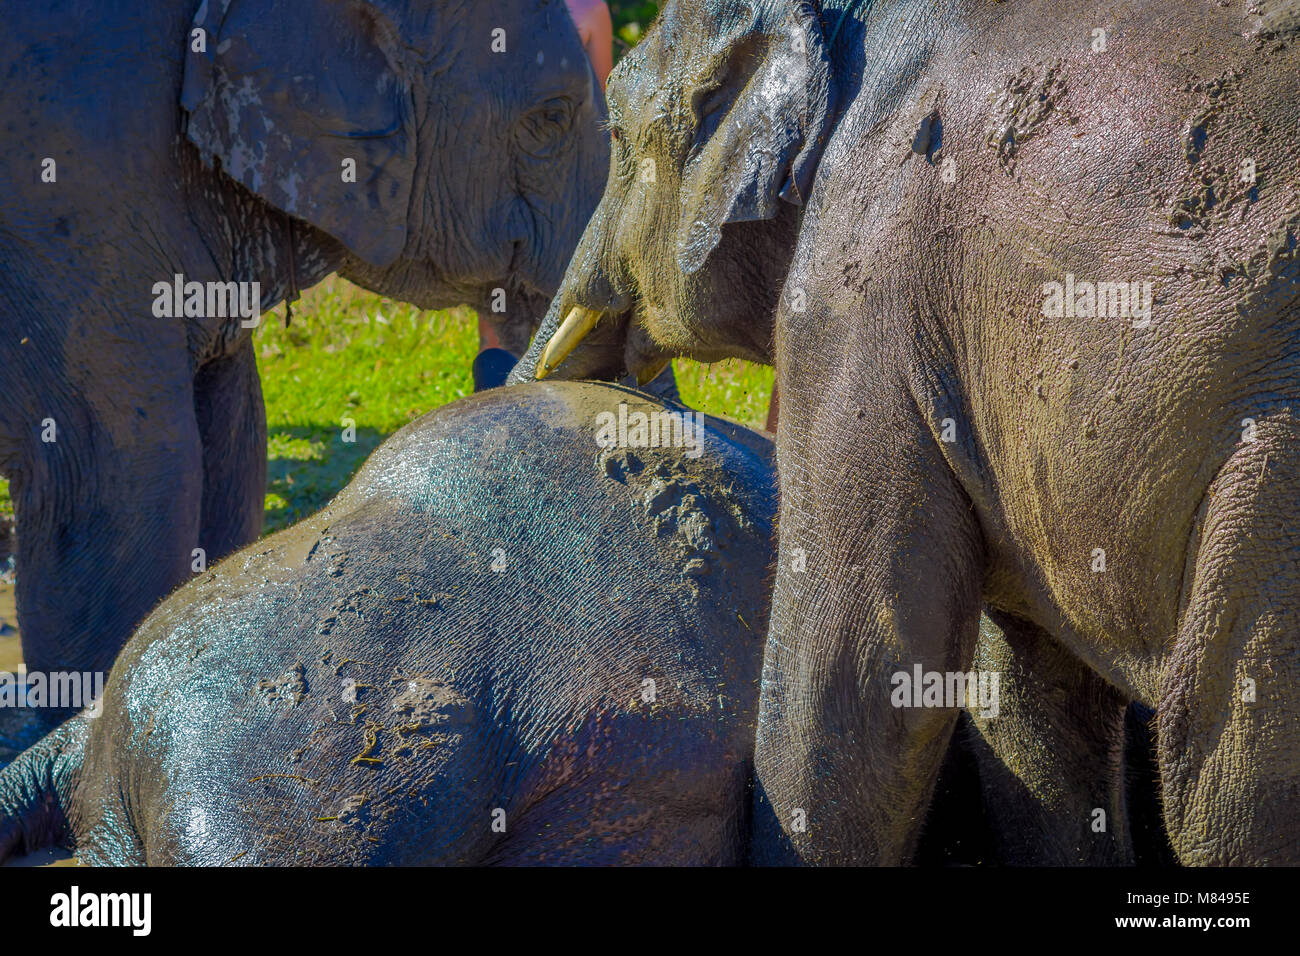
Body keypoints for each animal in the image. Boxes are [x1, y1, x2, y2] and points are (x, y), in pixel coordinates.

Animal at [513, 0, 1300, 864]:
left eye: (616, 136)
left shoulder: (855, 303)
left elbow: (860, 673)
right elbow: (1026, 701)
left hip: (1271, 475)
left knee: (1226, 786)